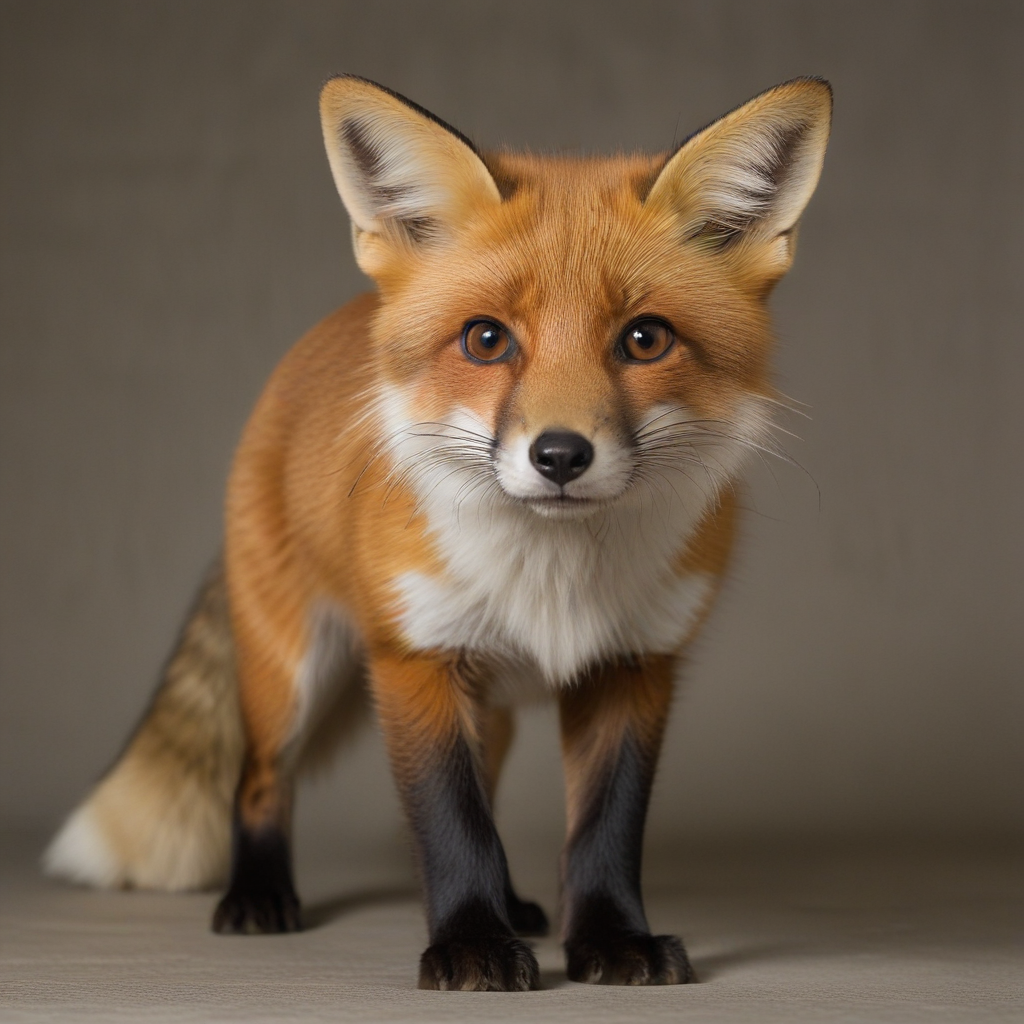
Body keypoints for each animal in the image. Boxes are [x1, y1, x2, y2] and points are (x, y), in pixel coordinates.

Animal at [44, 75, 831, 991]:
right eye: (487, 340)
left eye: (645, 339)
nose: (560, 456)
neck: (552, 576)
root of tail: (338, 325)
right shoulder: (414, 658)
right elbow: (451, 825)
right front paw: (470, 946)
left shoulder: (636, 665)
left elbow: (601, 831)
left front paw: (609, 939)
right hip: (292, 669)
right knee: (260, 778)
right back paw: (260, 898)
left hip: (485, 702)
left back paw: (522, 907)